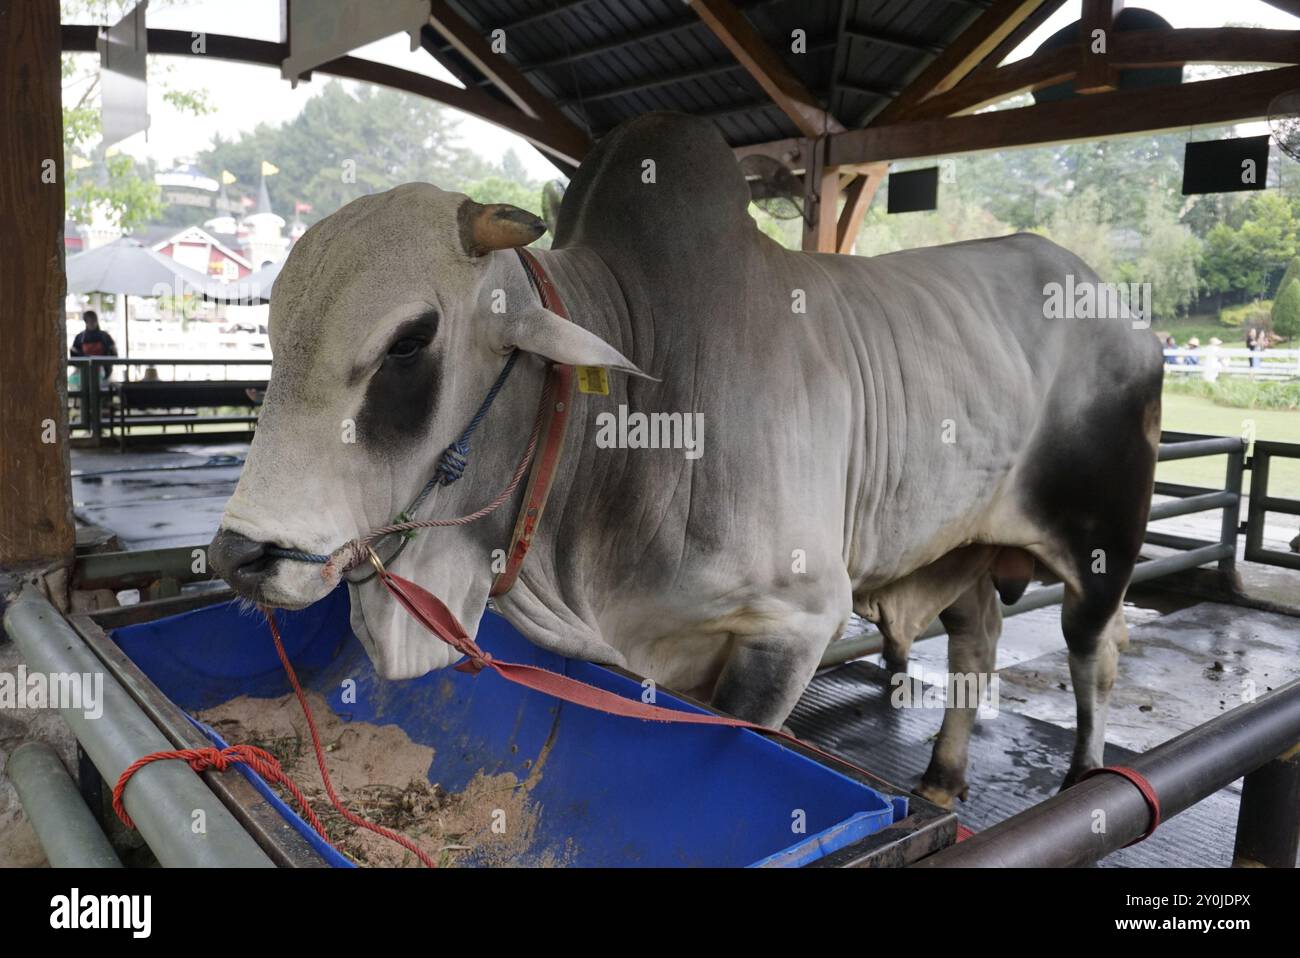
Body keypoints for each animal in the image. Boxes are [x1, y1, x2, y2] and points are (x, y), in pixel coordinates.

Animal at [209, 113, 1163, 808]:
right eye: (272, 334)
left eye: (410, 341)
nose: (238, 555)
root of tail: (1119, 307)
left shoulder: (792, 624)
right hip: (959, 545)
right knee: (979, 640)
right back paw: (942, 778)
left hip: (1104, 542)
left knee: (1094, 652)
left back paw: (1087, 776)